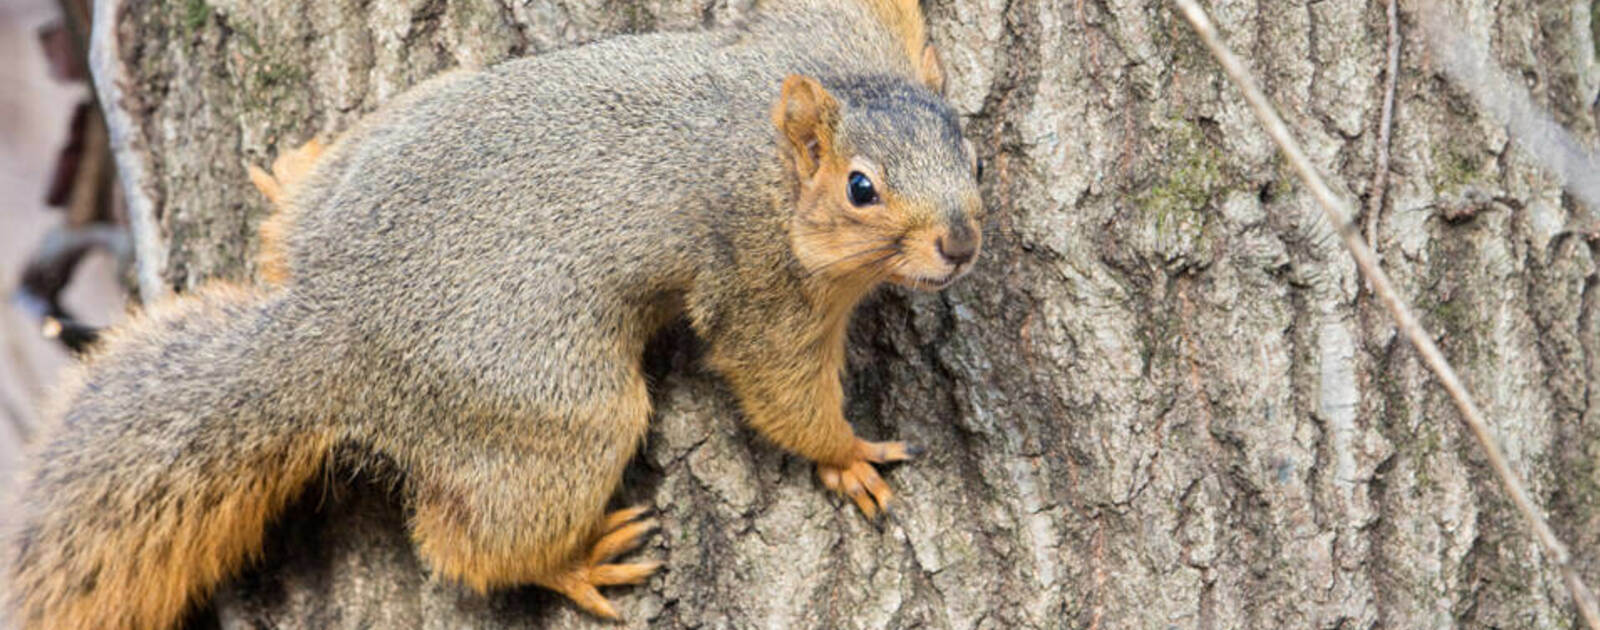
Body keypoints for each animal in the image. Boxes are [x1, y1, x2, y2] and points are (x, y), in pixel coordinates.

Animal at [4, 0, 984, 627]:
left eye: (968, 147)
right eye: (861, 189)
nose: (961, 243)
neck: (772, 163)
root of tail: (326, 328)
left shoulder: (823, 35)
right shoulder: (759, 280)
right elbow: (776, 381)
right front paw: (846, 453)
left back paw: (290, 185)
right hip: (549, 410)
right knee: (470, 544)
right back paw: (572, 561)